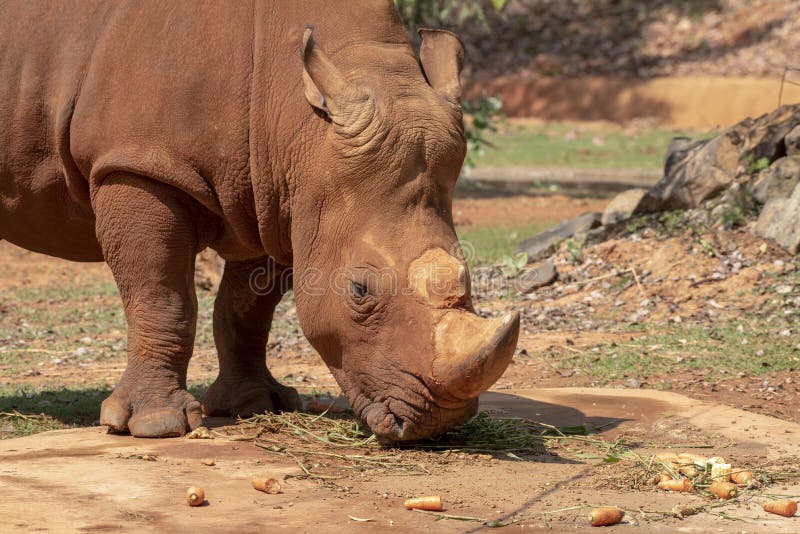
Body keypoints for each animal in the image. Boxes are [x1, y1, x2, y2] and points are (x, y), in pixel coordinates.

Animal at [0, 0, 519, 443]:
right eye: (360, 290)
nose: (441, 422)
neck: (299, 120)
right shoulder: (139, 164)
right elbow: (161, 296)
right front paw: (156, 426)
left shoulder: (281, 197)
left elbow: (248, 306)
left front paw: (256, 405)